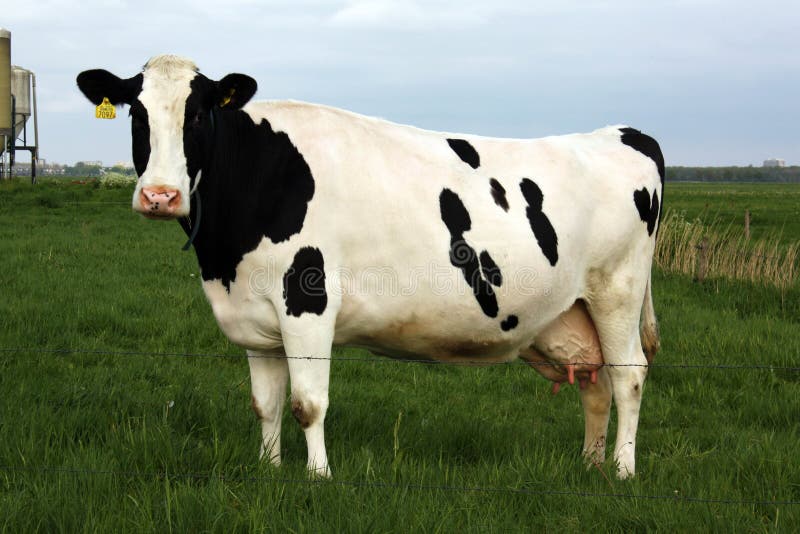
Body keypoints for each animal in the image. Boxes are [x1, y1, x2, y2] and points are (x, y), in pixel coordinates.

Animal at [76, 55, 662, 480]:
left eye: (197, 114)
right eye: (136, 113)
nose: (160, 195)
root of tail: (623, 133)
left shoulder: (307, 299)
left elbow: (307, 403)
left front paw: (318, 478)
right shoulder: (254, 317)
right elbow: (265, 404)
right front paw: (269, 470)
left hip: (617, 290)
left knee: (629, 376)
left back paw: (622, 471)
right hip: (573, 311)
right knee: (594, 384)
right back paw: (589, 465)